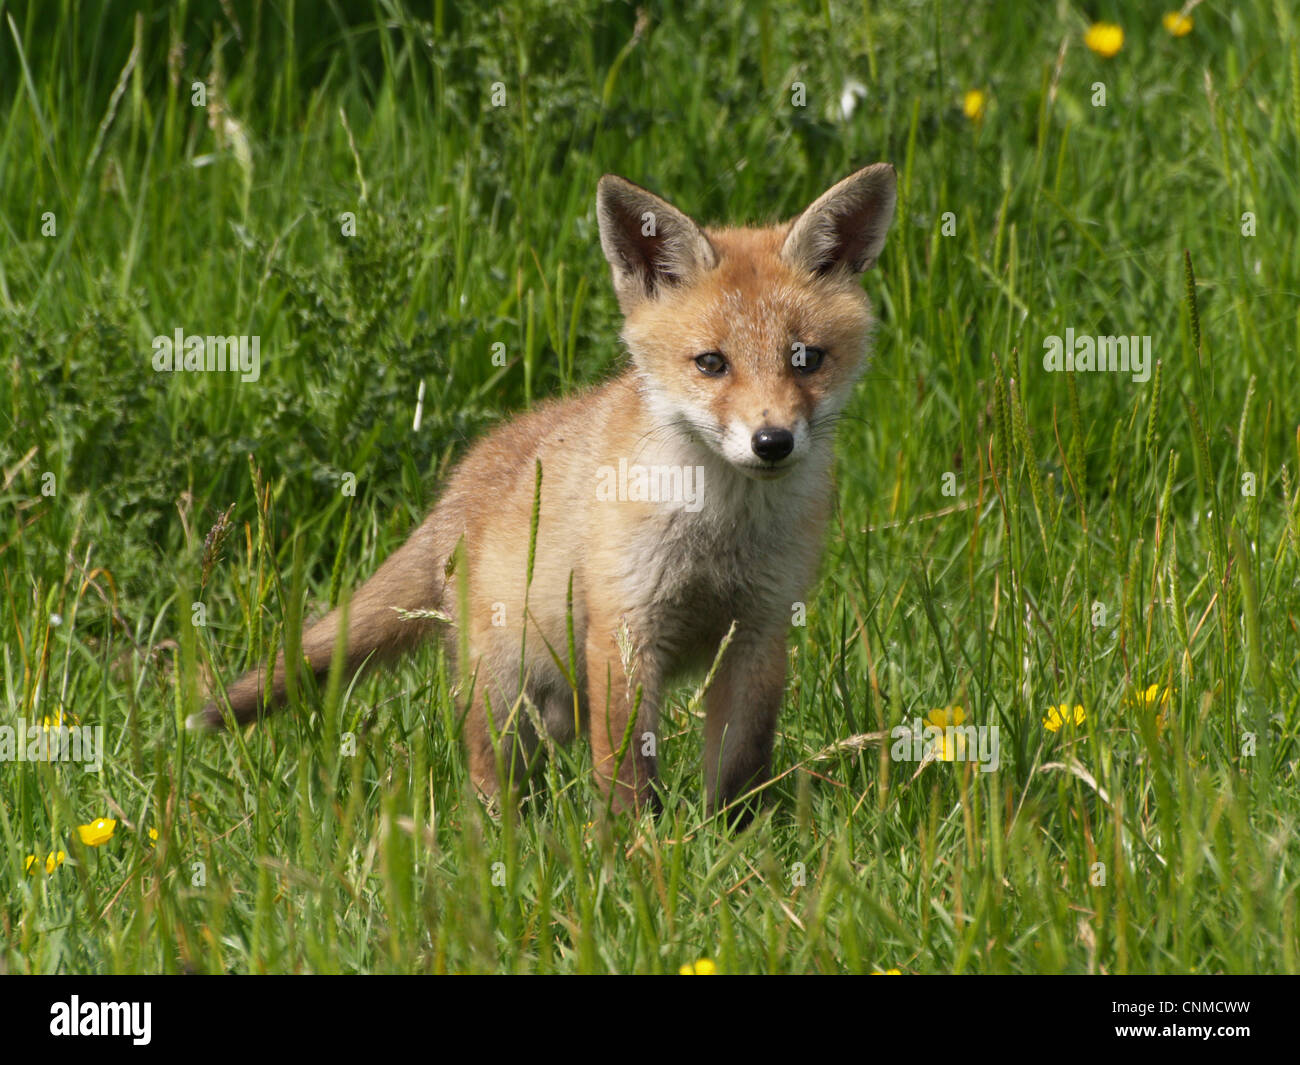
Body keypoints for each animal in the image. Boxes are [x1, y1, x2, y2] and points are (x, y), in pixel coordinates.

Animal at [193, 163, 898, 822]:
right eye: (711, 364)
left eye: (806, 359)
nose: (772, 442)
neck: (721, 529)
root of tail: (460, 484)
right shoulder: (625, 627)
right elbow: (625, 770)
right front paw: (633, 848)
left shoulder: (761, 629)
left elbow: (740, 765)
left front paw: (734, 840)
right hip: (503, 690)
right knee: (488, 771)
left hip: (558, 696)